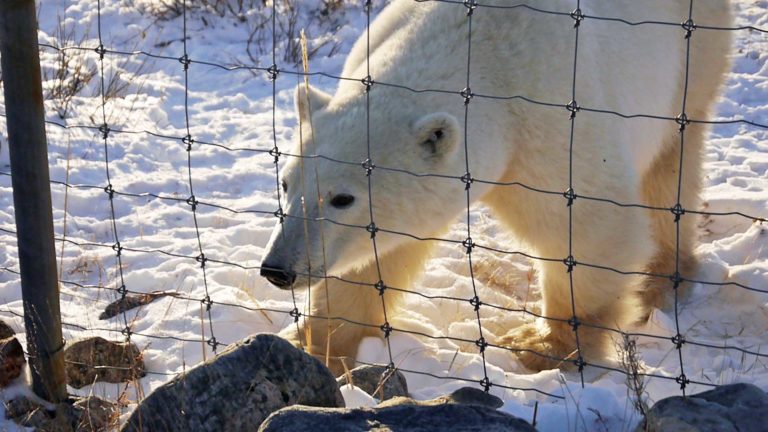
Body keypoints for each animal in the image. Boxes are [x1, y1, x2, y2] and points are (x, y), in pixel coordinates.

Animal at [260, 0, 733, 374]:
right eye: (286, 182)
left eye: (343, 198)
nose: (276, 269)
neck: (476, 48)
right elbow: (374, 256)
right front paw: (323, 344)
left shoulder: (550, 120)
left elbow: (586, 225)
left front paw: (542, 346)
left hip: (690, 57)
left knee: (669, 164)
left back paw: (660, 280)